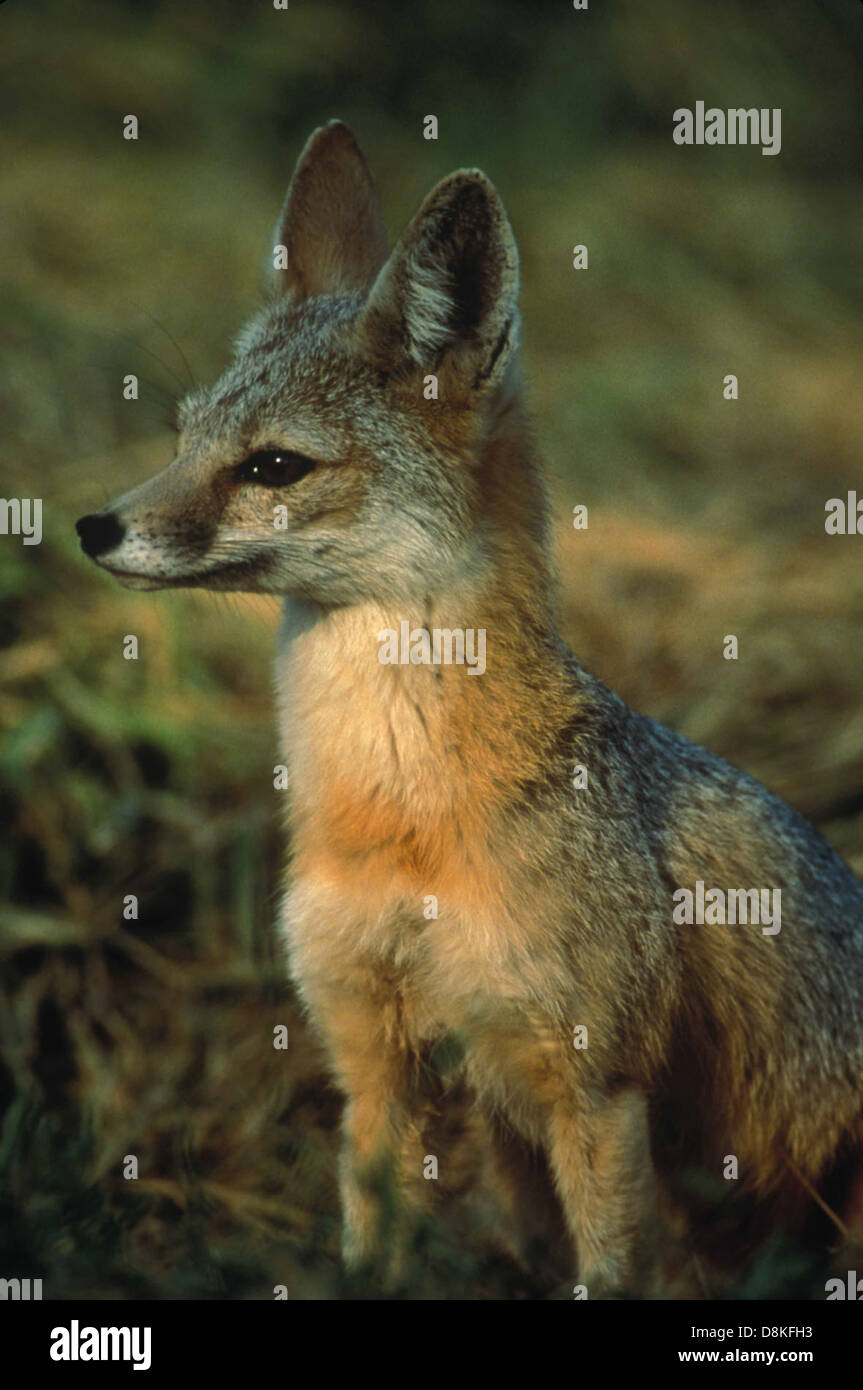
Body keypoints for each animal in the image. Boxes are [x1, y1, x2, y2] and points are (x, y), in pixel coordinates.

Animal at [77, 120, 863, 1296]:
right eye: (180, 437)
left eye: (274, 466)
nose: (92, 526)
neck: (400, 816)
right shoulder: (371, 1060)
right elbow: (370, 1241)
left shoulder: (595, 1087)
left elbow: (609, 1270)